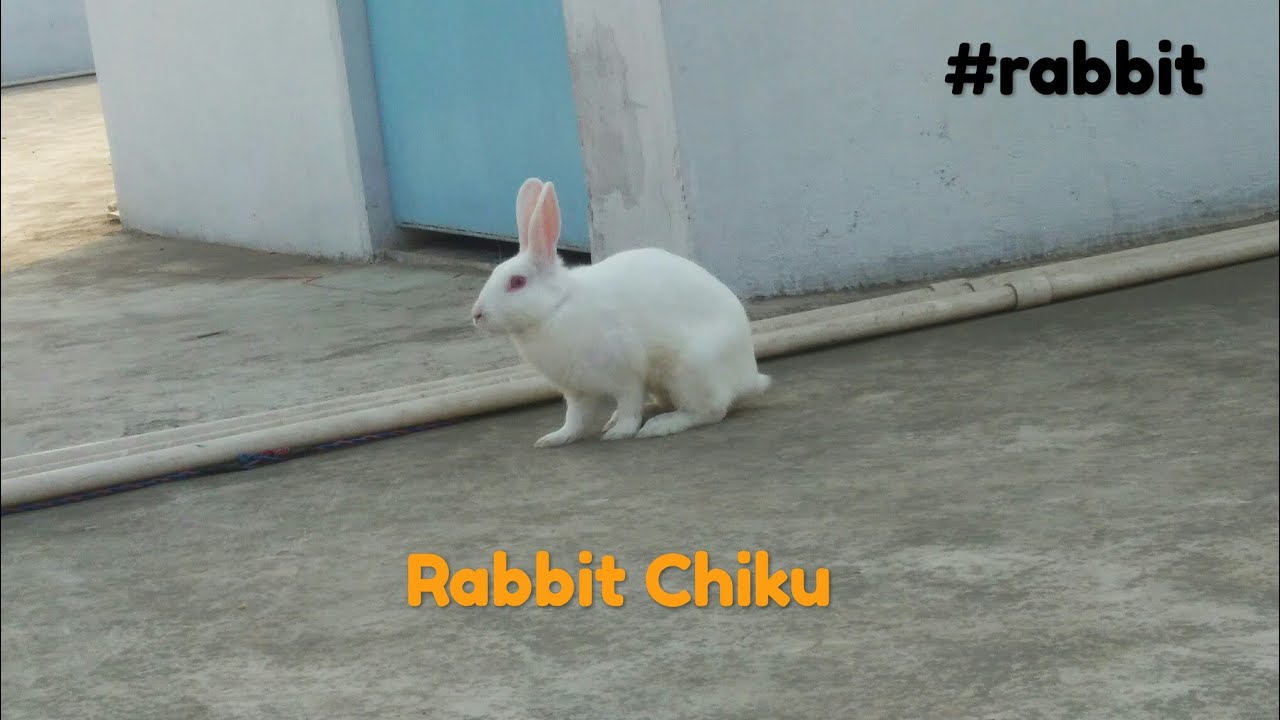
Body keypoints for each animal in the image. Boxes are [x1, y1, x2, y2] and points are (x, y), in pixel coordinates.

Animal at [470, 177, 771, 448]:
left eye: (517, 282)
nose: (477, 314)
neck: (556, 308)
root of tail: (749, 376)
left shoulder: (627, 373)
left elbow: (629, 404)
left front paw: (620, 433)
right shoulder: (577, 391)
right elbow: (575, 419)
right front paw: (555, 439)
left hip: (690, 370)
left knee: (710, 411)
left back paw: (658, 426)